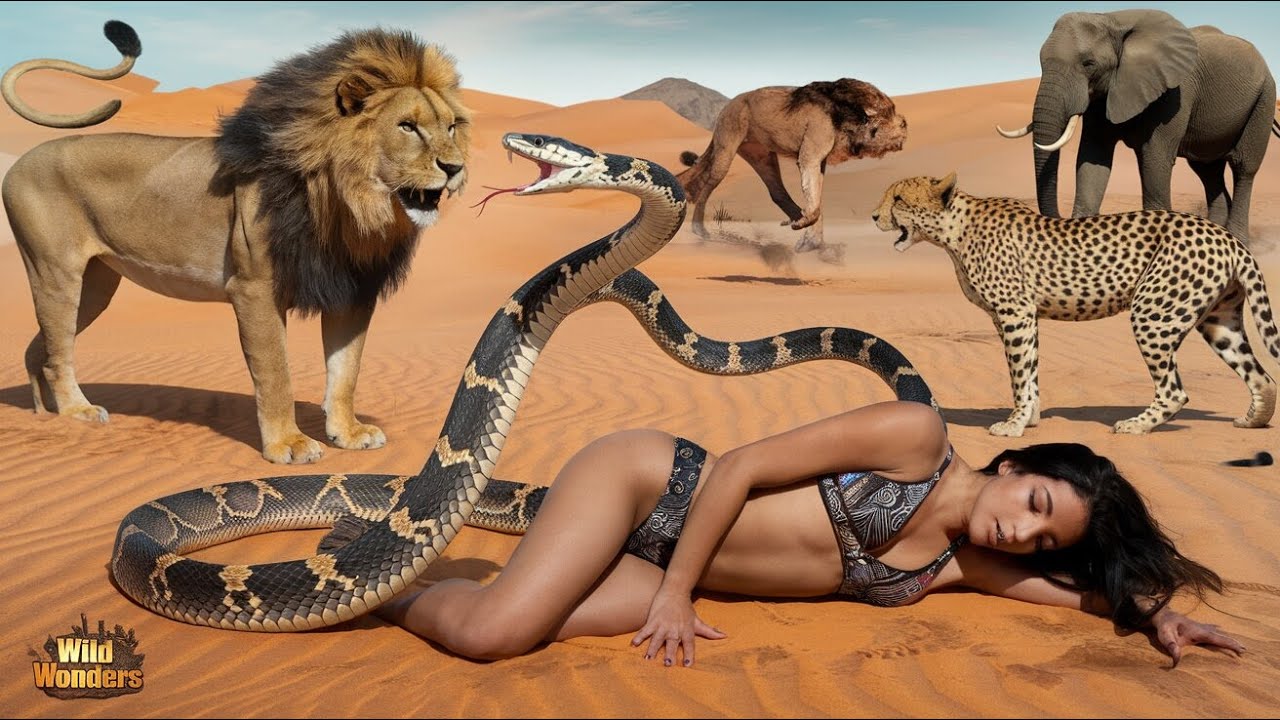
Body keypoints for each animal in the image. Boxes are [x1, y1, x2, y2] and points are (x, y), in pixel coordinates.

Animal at [2, 21, 471, 464]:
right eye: (407, 127)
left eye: (451, 127)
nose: (455, 167)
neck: (348, 204)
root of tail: (27, 156)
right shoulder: (255, 290)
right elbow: (277, 372)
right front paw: (288, 444)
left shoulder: (352, 290)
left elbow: (346, 370)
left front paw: (348, 433)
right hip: (56, 272)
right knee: (58, 351)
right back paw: (76, 413)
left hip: (96, 285)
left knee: (42, 348)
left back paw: (45, 415)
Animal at [677, 78, 907, 252]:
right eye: (891, 116)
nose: (906, 125)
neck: (846, 115)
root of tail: (728, 105)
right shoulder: (811, 151)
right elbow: (814, 202)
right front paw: (805, 230)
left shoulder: (820, 159)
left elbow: (817, 200)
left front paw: (811, 243)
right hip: (728, 139)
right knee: (709, 181)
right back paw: (700, 230)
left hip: (760, 154)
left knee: (776, 190)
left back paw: (794, 216)